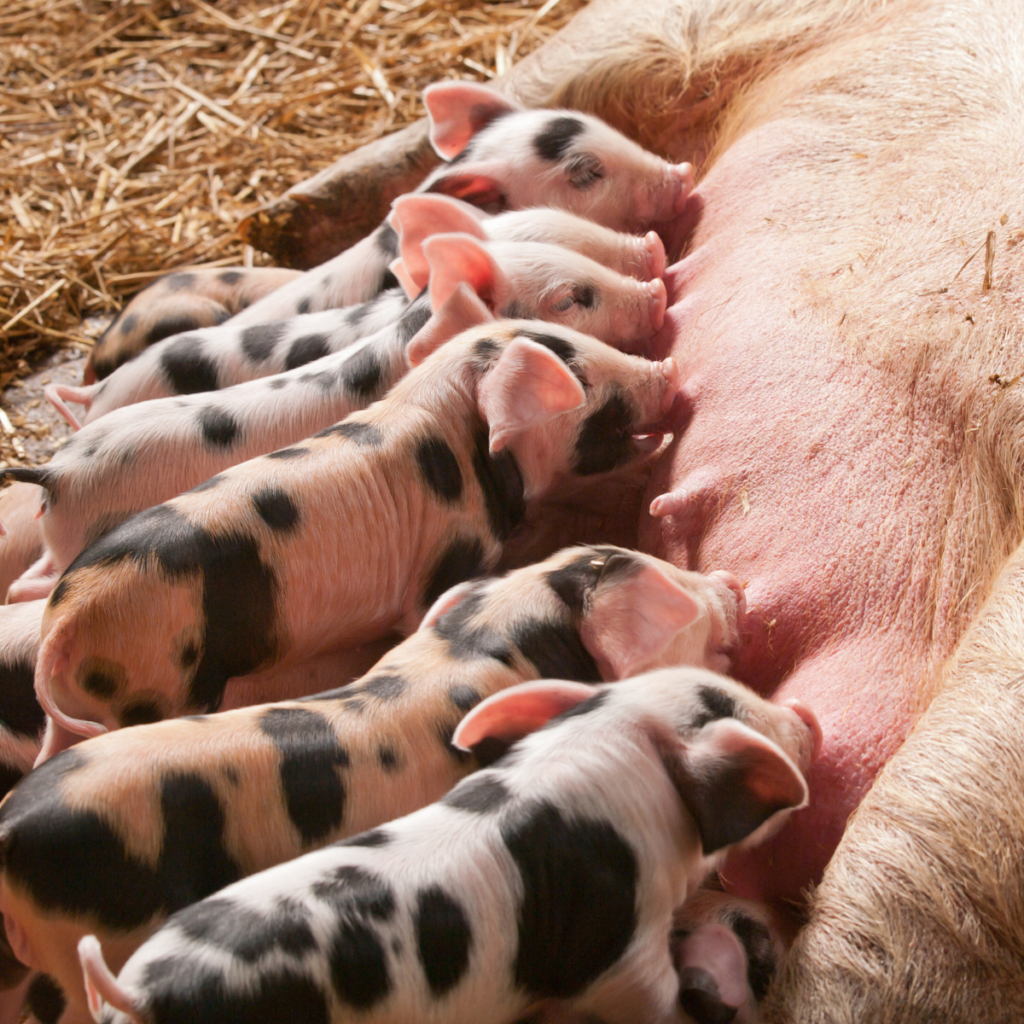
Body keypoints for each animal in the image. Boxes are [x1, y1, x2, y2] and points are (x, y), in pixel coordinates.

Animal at [33, 320, 678, 754]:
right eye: (578, 375)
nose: (666, 369)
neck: (456, 450)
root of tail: (62, 626)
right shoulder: (443, 563)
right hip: (159, 683)